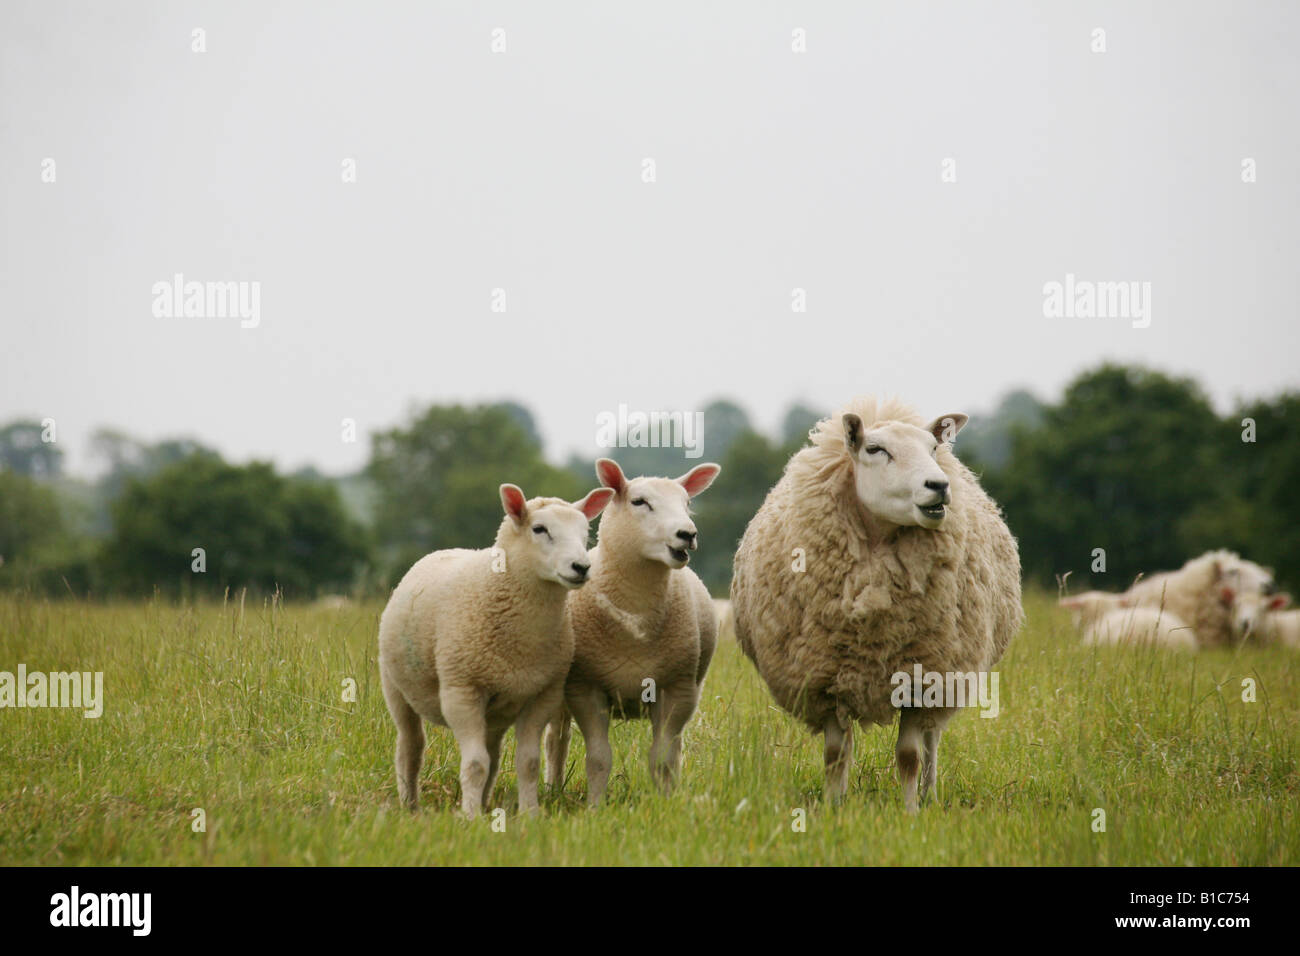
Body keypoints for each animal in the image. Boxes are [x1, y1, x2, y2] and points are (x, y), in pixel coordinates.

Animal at [378, 482, 614, 817]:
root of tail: (441, 550)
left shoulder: (542, 694)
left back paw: (484, 800)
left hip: (496, 711)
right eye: (539, 529)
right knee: (411, 747)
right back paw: (410, 804)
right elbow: (475, 764)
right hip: (396, 687)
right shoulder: (462, 691)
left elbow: (527, 762)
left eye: (585, 533)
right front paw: (470, 816)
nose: (581, 567)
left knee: (492, 753)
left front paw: (530, 814)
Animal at [543, 458, 721, 805]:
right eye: (639, 502)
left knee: (676, 746)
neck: (635, 623)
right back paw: (553, 788)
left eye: (687, 503)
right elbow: (599, 758)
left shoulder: (677, 689)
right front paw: (595, 806)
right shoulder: (585, 688)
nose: (687, 534)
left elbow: (663, 758)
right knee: (557, 738)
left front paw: (667, 803)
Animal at [730, 397, 1022, 813]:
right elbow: (835, 755)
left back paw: (930, 794)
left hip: (946, 672)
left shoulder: (921, 678)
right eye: (875, 449)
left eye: (933, 448)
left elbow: (909, 756)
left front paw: (910, 812)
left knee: (932, 741)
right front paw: (833, 807)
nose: (939, 486)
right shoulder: (827, 680)